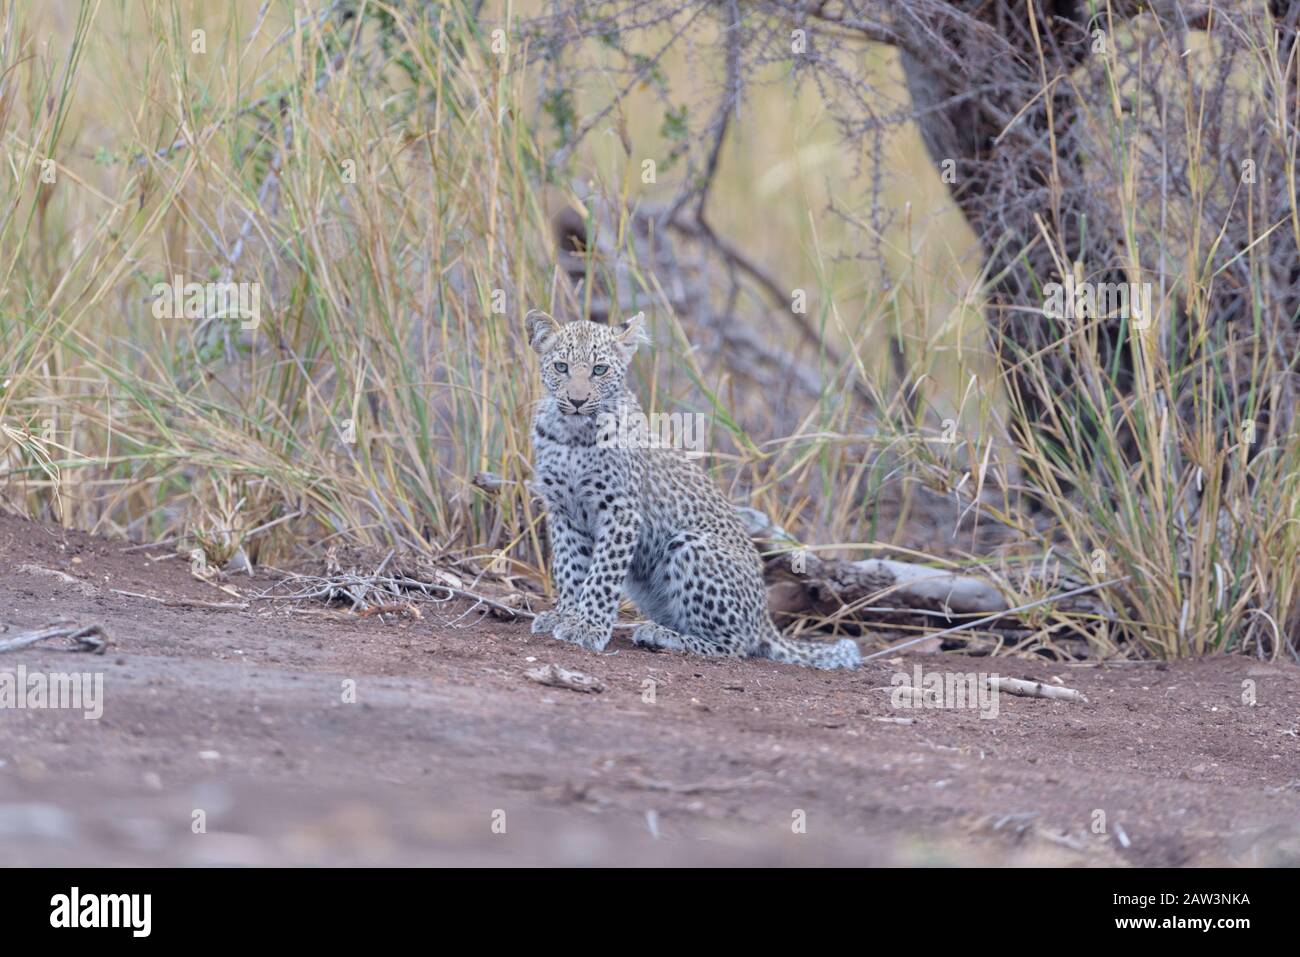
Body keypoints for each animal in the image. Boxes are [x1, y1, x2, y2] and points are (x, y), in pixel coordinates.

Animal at [525, 310, 860, 670]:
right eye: (561, 367)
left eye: (599, 370)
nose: (576, 401)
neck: (572, 434)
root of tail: (763, 616)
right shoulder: (563, 510)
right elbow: (569, 567)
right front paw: (564, 615)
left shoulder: (620, 511)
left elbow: (602, 574)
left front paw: (587, 627)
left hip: (690, 545)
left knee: (737, 645)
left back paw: (660, 635)